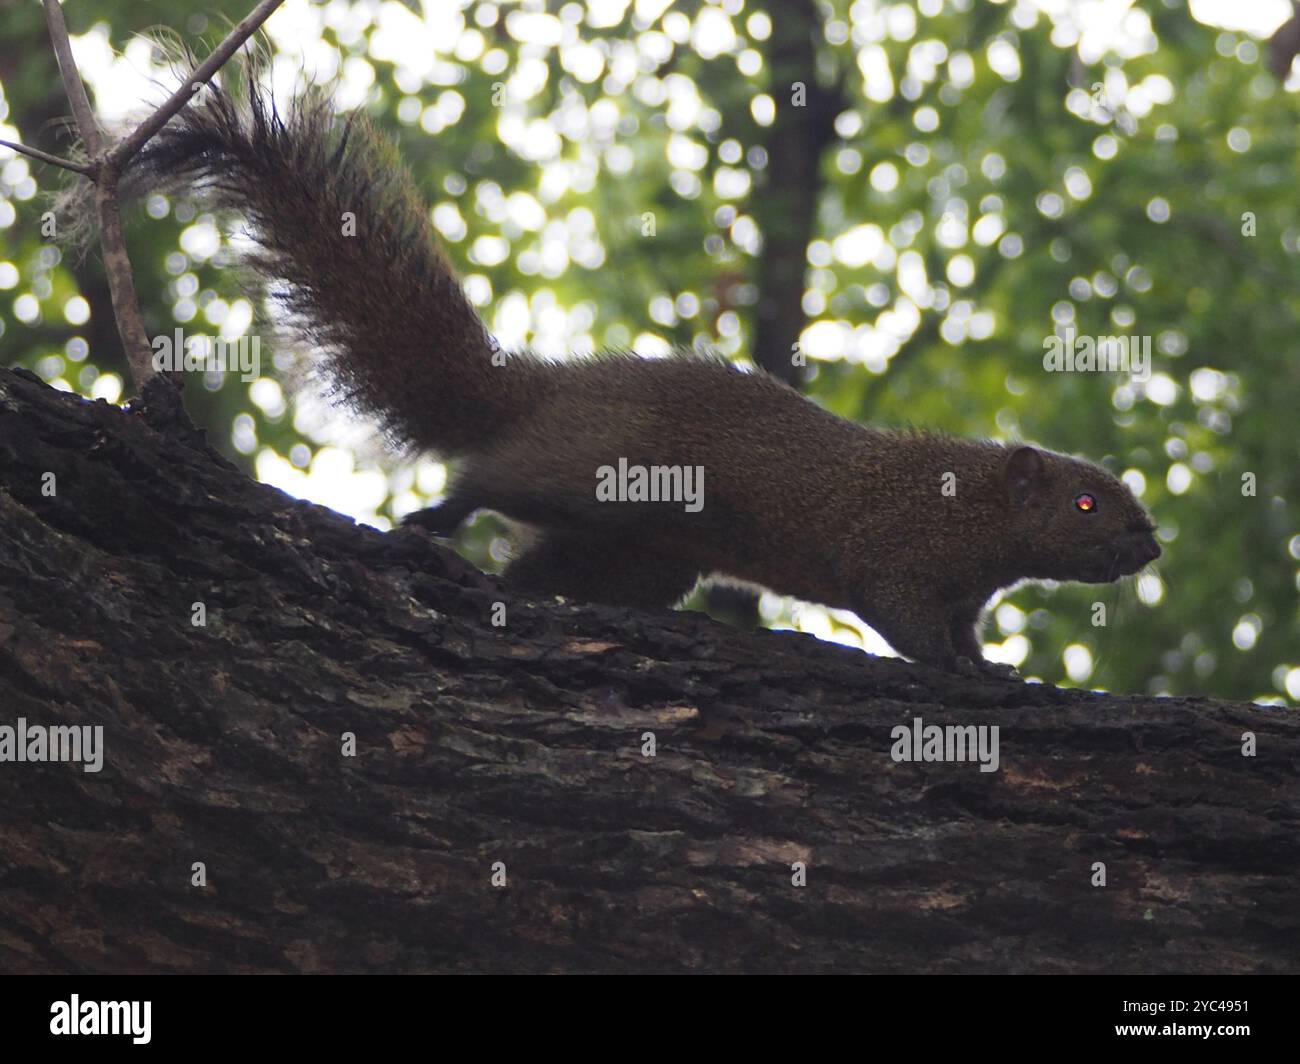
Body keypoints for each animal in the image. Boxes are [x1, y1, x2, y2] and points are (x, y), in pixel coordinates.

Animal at [128, 65, 1161, 676]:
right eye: (1086, 502)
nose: (1151, 548)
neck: (973, 510)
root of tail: (542, 387)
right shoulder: (896, 552)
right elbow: (905, 622)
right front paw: (959, 676)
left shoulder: (962, 593)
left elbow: (962, 633)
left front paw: (991, 667)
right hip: (586, 472)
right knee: (490, 477)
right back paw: (437, 518)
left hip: (637, 556)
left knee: (534, 568)